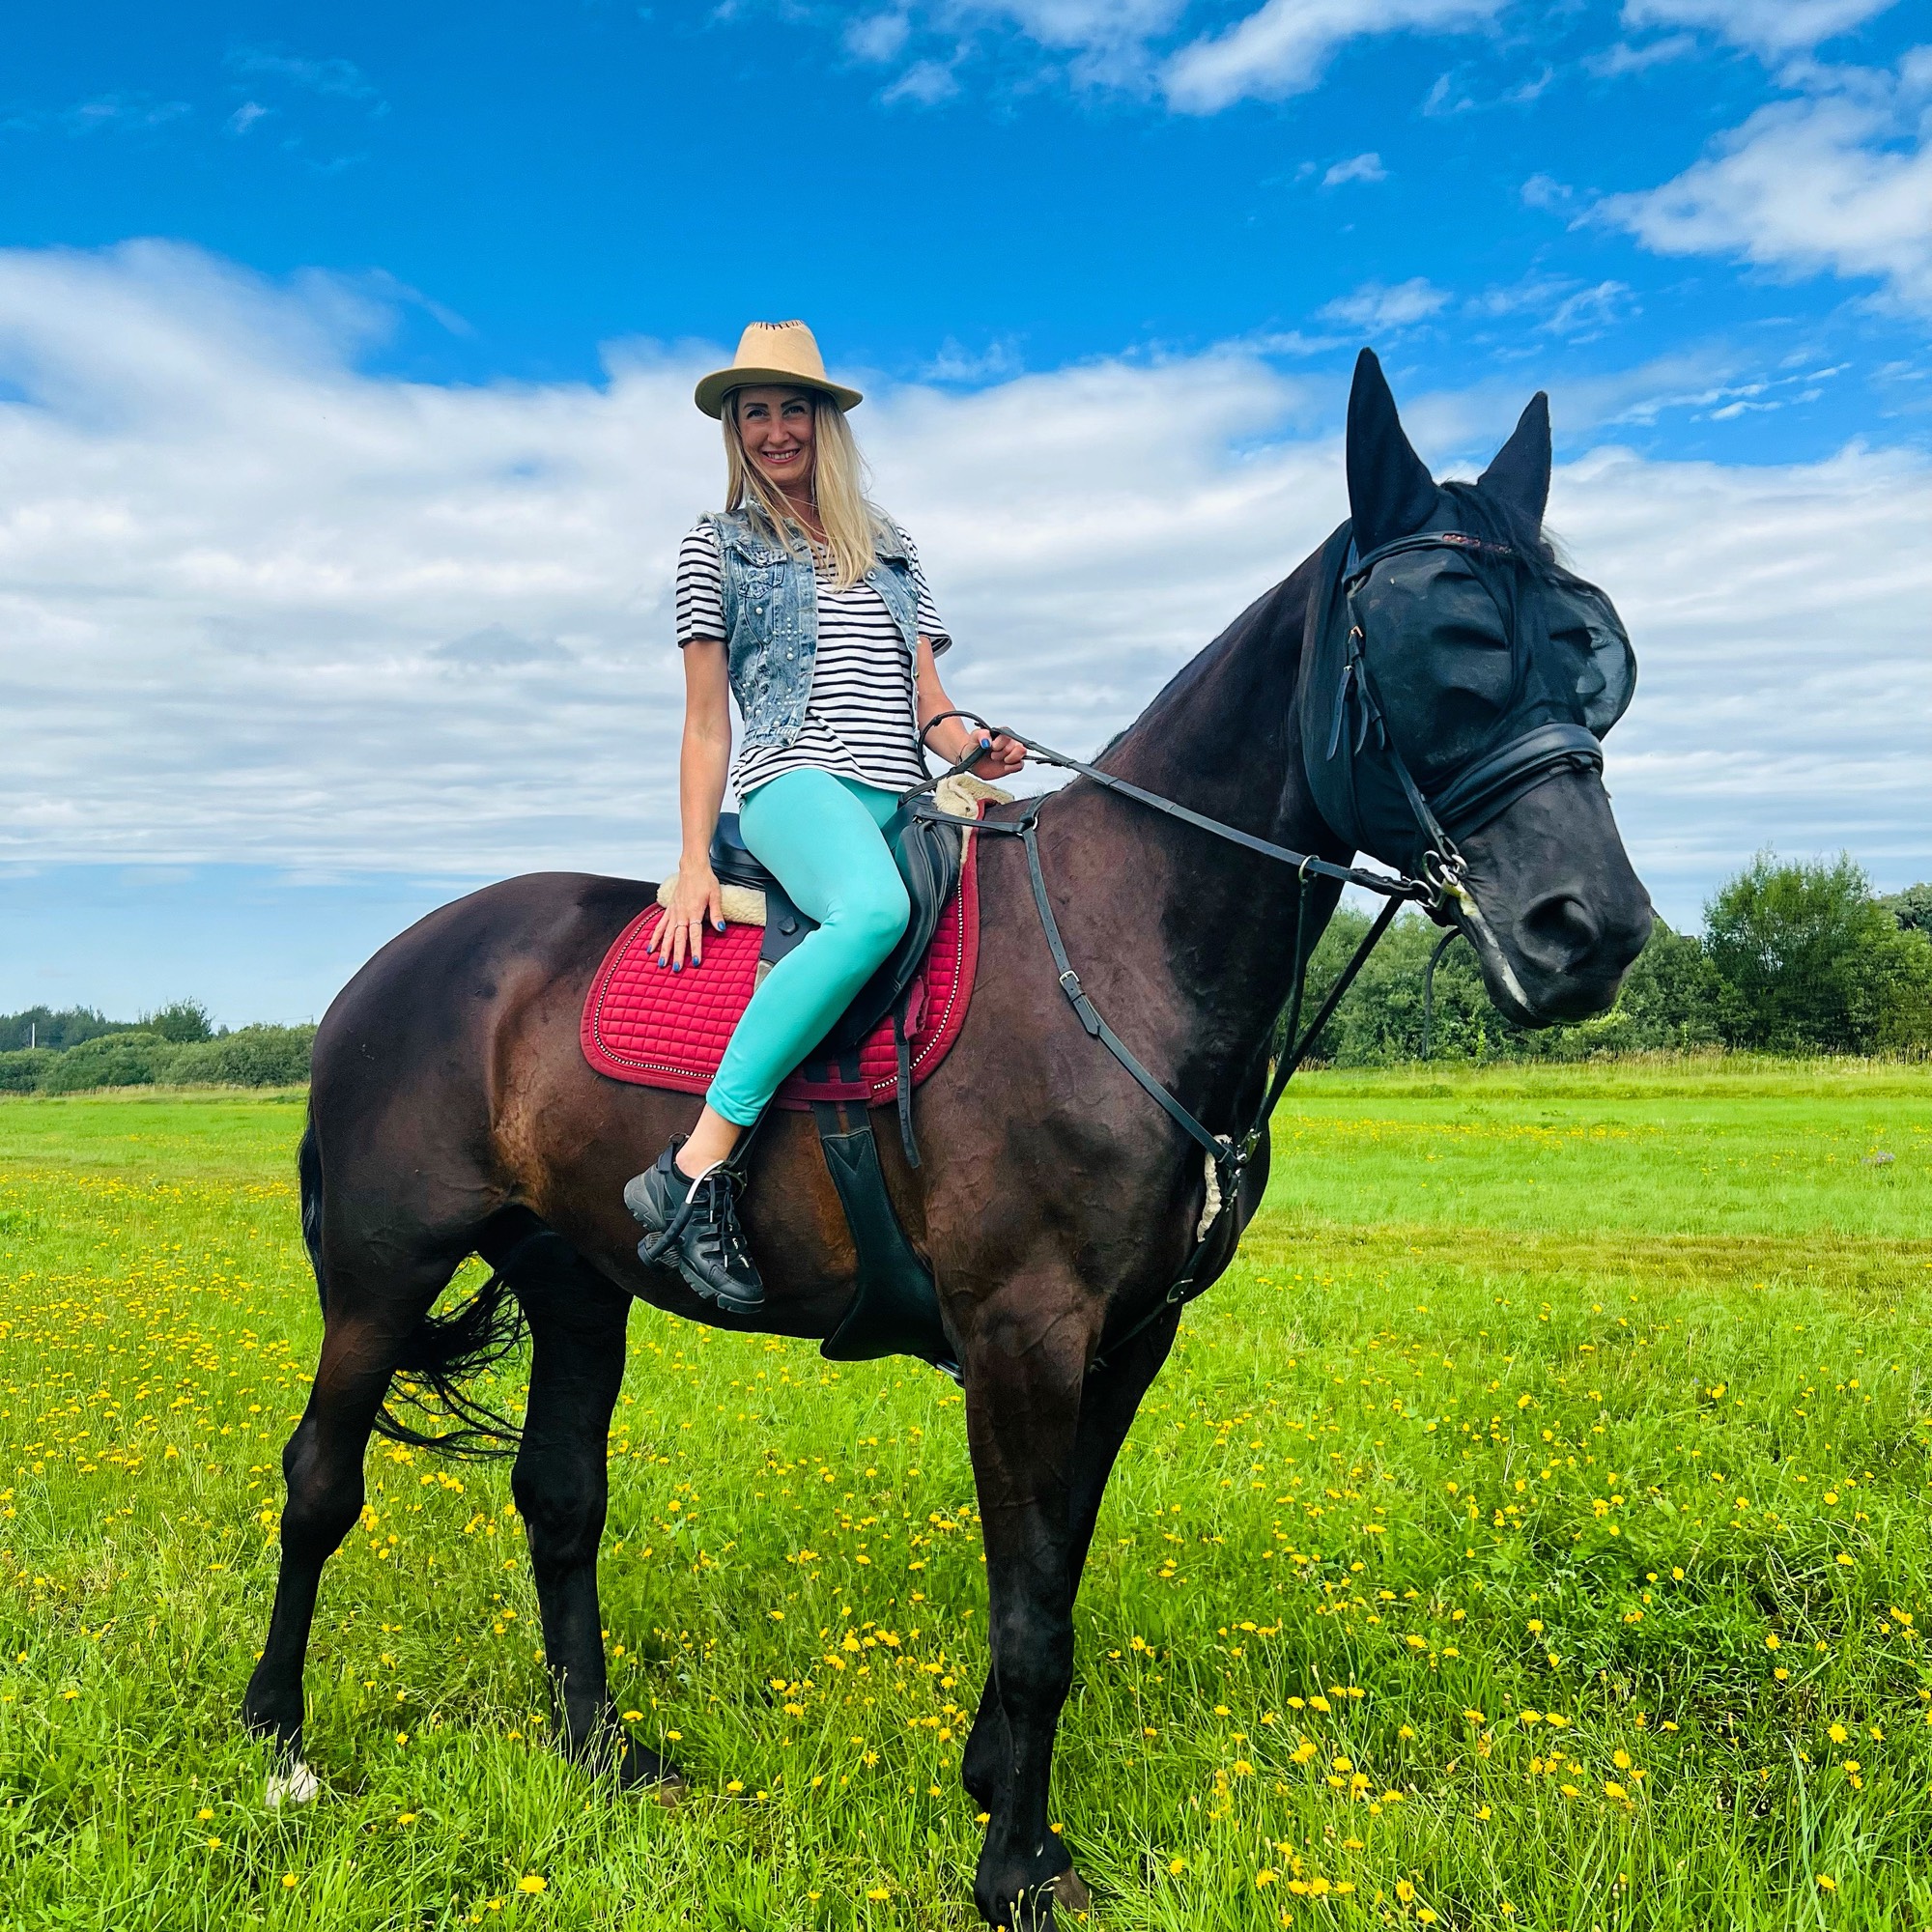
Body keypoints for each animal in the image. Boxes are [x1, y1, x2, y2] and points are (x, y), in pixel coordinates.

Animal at [249, 355, 1654, 1924]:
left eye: (1589, 652)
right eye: (1443, 644)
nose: (1590, 929)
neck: (1116, 946)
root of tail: (386, 969)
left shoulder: (1126, 1341)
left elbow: (1053, 1578)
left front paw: (1004, 1799)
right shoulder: (1021, 1335)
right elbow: (1032, 1609)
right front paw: (1014, 1866)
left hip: (575, 1283)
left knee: (558, 1498)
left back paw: (600, 1748)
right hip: (381, 1274)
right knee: (320, 1483)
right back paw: (283, 1742)